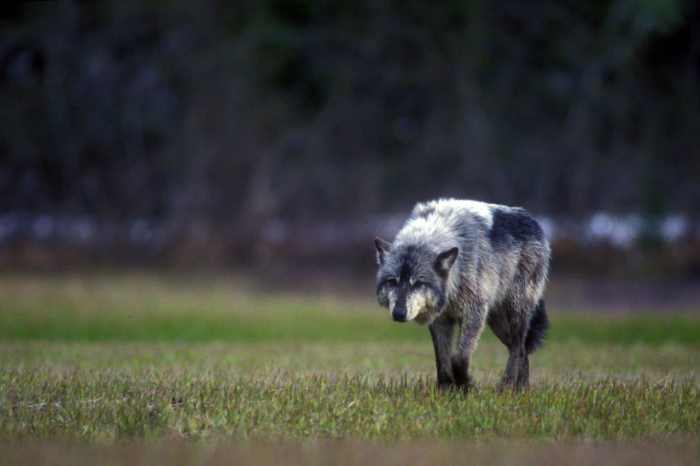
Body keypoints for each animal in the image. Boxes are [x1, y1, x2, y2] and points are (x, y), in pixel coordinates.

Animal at [375, 198, 550, 391]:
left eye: (419, 283)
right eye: (393, 281)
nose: (399, 314)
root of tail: (532, 220)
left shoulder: (474, 314)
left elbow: (459, 358)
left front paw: (466, 385)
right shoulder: (440, 320)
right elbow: (442, 360)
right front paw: (445, 390)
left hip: (514, 313)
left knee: (518, 348)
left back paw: (506, 387)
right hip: (496, 322)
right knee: (522, 350)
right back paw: (521, 390)